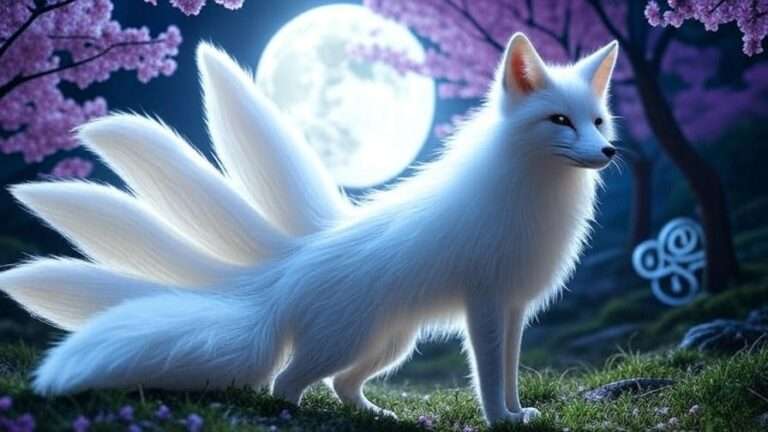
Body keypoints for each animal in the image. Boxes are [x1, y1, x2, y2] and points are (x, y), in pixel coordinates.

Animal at [0, 33, 618, 425]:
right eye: (559, 120)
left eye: (597, 121)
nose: (609, 151)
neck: (531, 193)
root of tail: (286, 271)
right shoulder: (485, 303)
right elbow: (488, 376)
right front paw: (499, 420)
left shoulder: (514, 308)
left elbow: (509, 373)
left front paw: (517, 414)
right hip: (349, 340)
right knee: (288, 383)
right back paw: (290, 415)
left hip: (390, 342)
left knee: (341, 385)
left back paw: (381, 416)